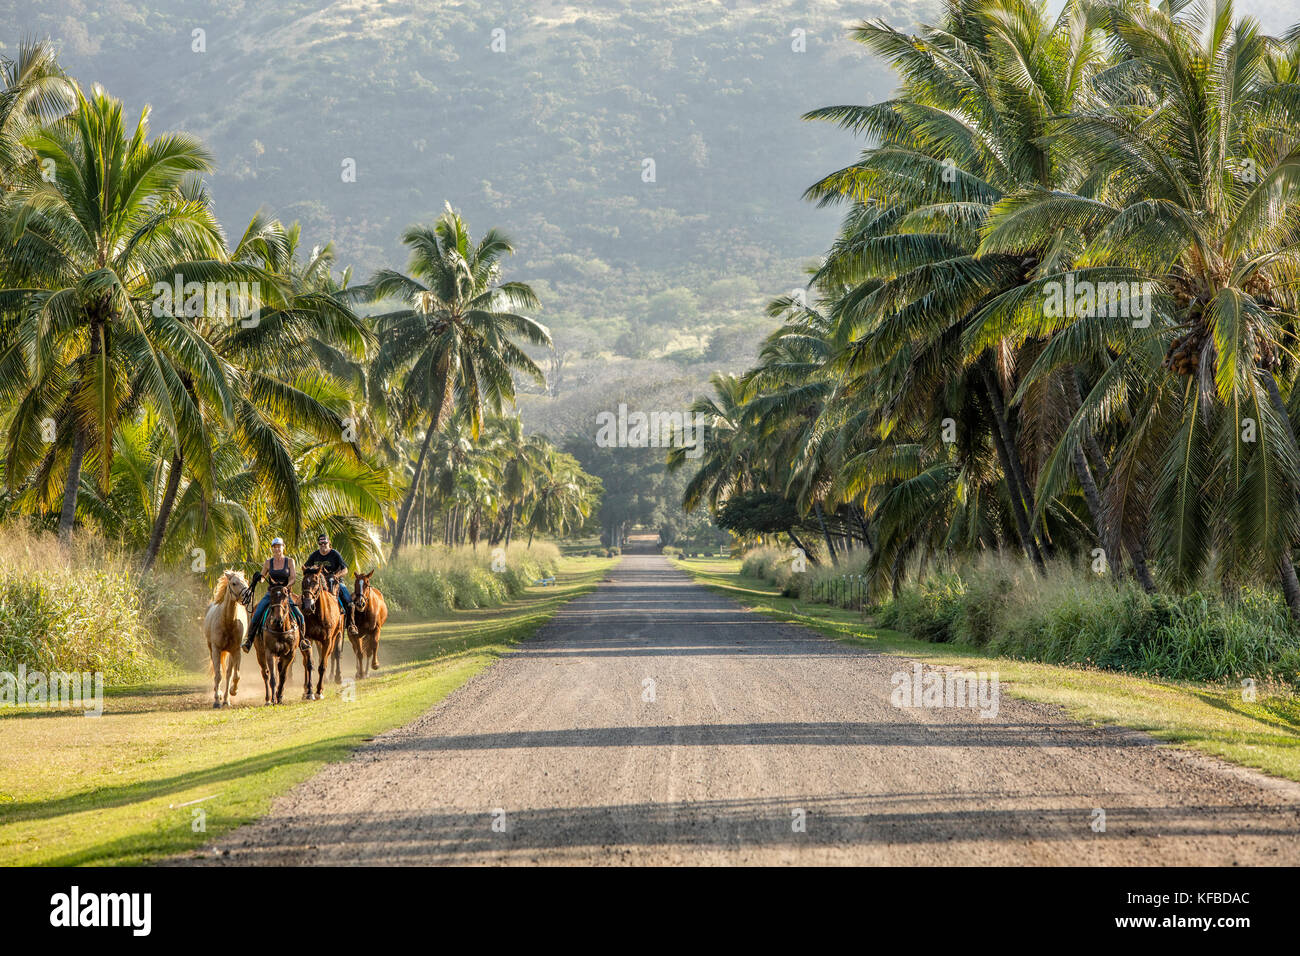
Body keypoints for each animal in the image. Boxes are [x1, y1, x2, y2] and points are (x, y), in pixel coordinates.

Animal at [203, 570, 252, 708]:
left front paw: (233, 691)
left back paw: (226, 699)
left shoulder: (236, 651)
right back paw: (219, 695)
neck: (228, 622)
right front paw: (216, 700)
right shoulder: (216, 649)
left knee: (229, 673)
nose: (247, 596)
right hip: (211, 649)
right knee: (217, 672)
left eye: (245, 581)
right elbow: (218, 674)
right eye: (234, 583)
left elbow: (235, 675)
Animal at [299, 566, 343, 699]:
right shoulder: (308, 639)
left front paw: (319, 691)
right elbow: (309, 664)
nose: (307, 606)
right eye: (303, 582)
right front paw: (309, 691)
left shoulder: (327, 641)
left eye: (315, 582)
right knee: (306, 662)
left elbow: (323, 665)